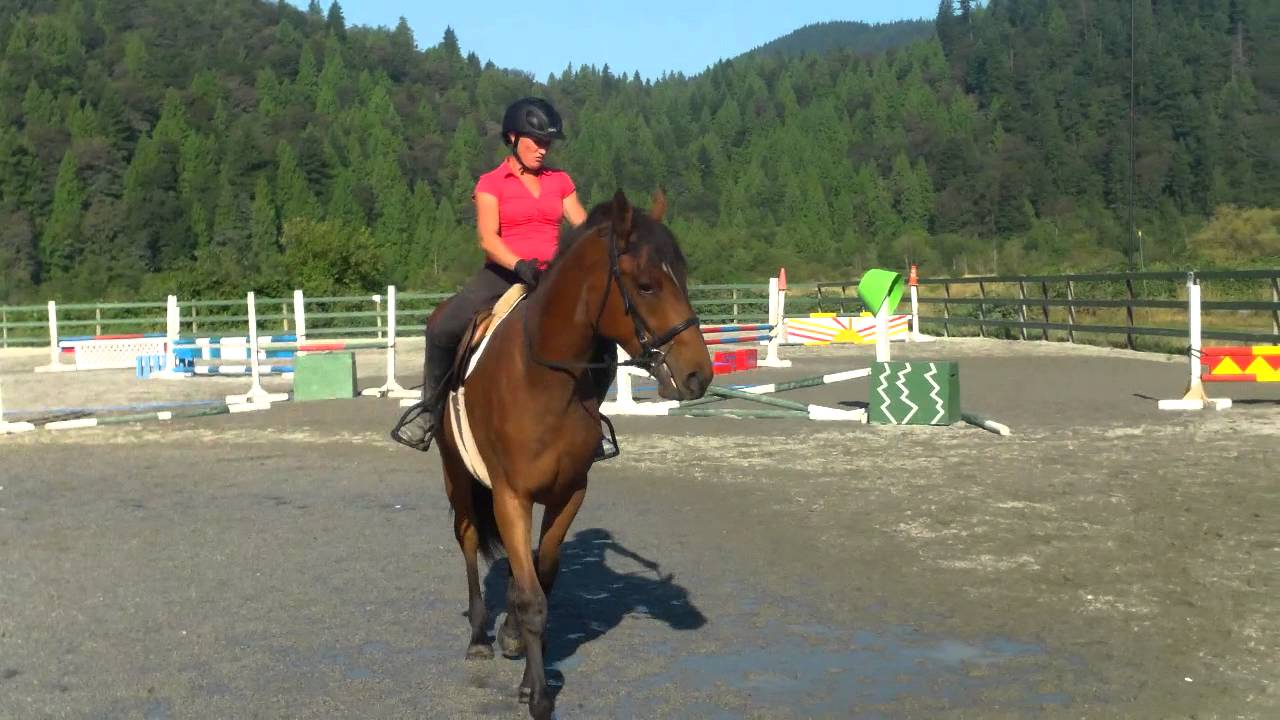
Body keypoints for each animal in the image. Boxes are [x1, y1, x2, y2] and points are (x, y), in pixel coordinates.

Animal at [429, 189, 712, 719]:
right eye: (646, 285)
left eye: (682, 279)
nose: (698, 376)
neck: (544, 379)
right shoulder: (511, 497)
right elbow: (531, 597)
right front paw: (539, 696)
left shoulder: (569, 492)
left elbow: (540, 579)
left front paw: (521, 658)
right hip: (458, 477)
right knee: (469, 539)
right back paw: (478, 636)